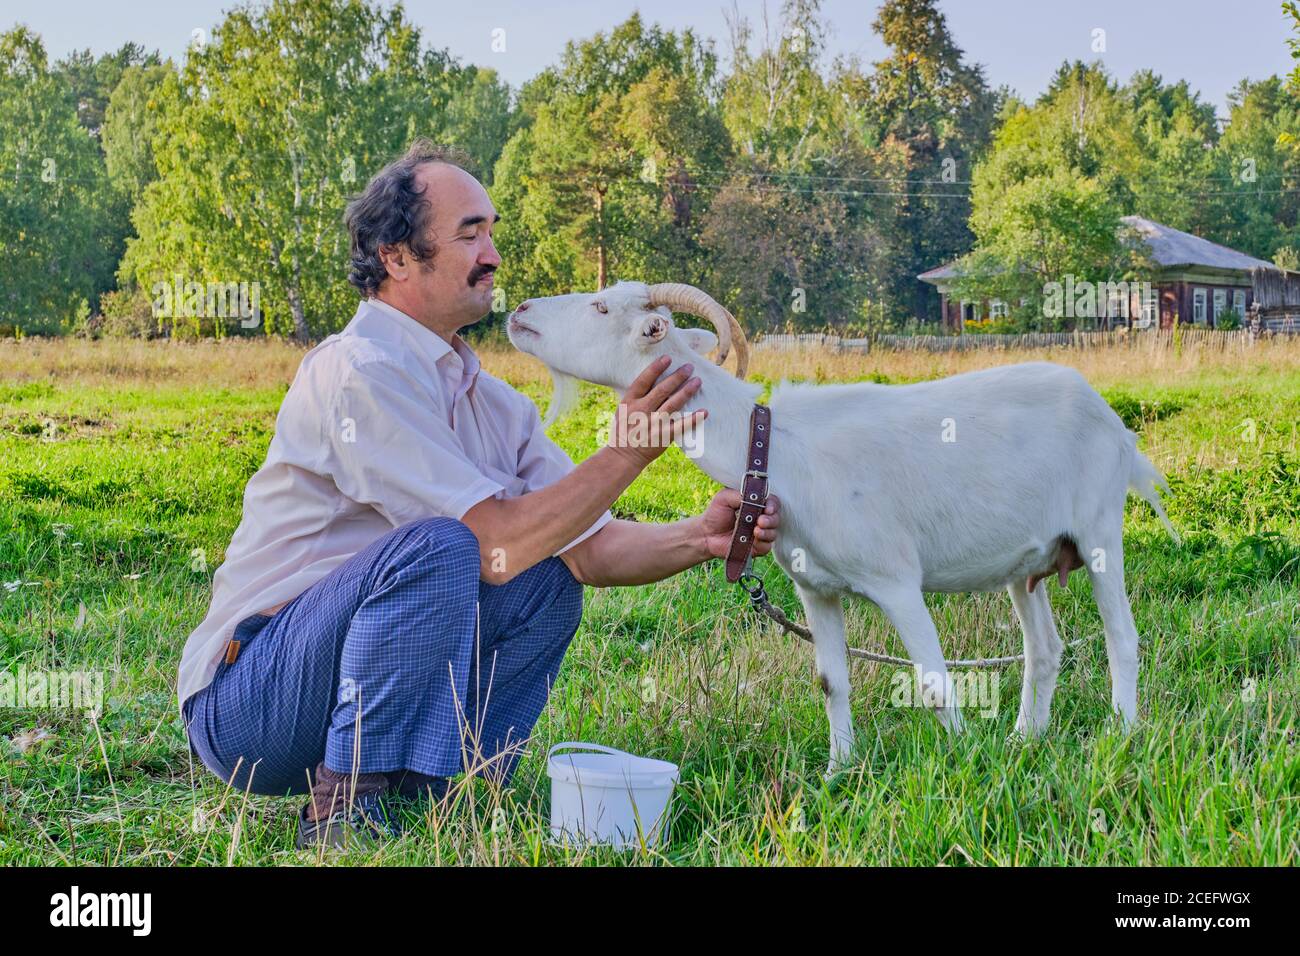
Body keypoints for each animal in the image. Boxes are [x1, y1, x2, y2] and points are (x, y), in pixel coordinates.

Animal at [508, 281, 1179, 774]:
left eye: (600, 307)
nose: (518, 311)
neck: (772, 447)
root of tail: (1112, 421)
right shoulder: (815, 589)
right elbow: (831, 682)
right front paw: (838, 771)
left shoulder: (896, 581)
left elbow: (934, 681)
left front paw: (964, 760)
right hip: (1025, 564)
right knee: (1044, 649)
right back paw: (1024, 740)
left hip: (1098, 531)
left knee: (1121, 636)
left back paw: (1121, 733)